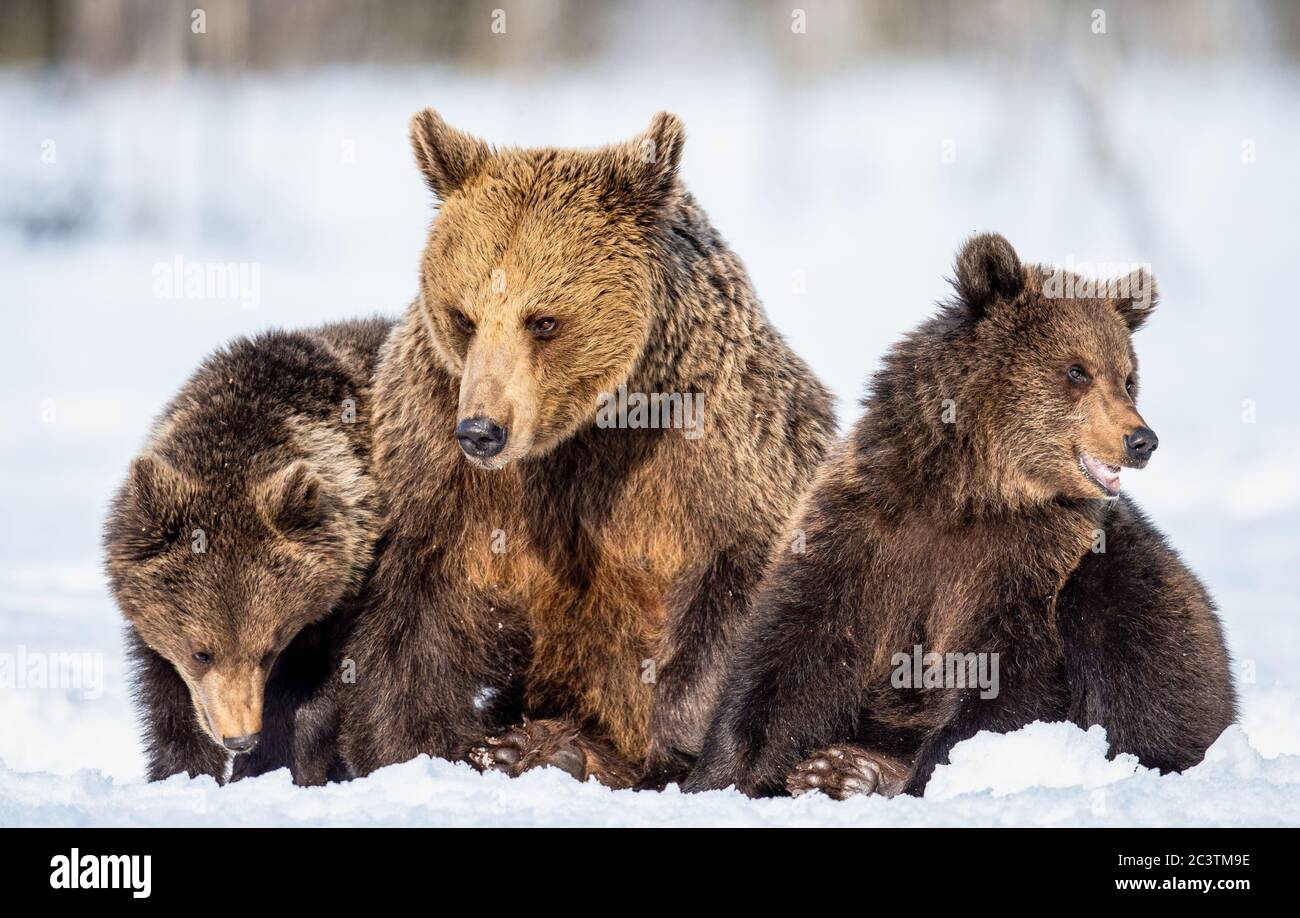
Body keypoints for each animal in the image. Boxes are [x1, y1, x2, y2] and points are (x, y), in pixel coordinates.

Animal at [104, 317, 392, 786]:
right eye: (201, 652)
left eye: (268, 649)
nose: (239, 738)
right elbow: (167, 697)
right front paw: (181, 771)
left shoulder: (345, 593)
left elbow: (316, 696)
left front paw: (273, 765)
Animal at [334, 109, 836, 788]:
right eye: (464, 316)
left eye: (543, 319)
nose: (482, 431)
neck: (586, 432)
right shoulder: (440, 458)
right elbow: (417, 614)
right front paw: (413, 745)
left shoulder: (714, 452)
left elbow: (746, 591)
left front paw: (685, 745)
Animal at [685, 233, 1236, 799]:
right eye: (1076, 370)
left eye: (1128, 377)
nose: (1141, 439)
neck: (969, 492)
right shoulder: (862, 532)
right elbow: (793, 652)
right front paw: (721, 775)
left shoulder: (1026, 565)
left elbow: (1005, 683)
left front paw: (914, 777)